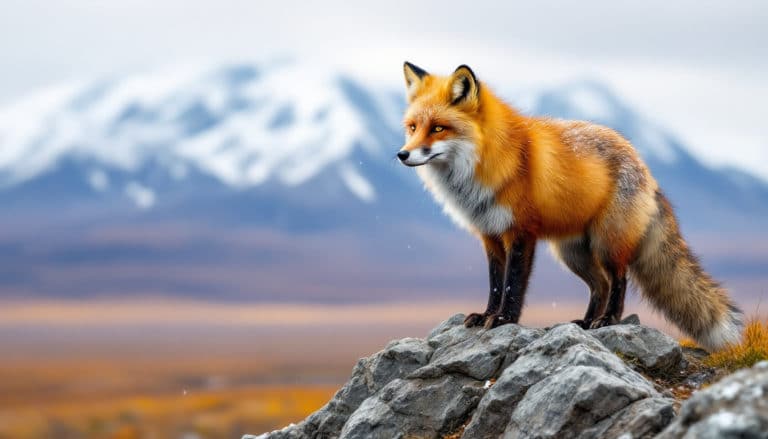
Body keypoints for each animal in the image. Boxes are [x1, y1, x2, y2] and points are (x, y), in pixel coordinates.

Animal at [396, 61, 744, 351]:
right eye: (412, 127)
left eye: (438, 128)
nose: (402, 154)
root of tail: (645, 166)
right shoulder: (490, 235)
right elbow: (495, 284)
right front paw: (486, 315)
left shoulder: (521, 232)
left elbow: (512, 284)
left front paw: (505, 320)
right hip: (573, 254)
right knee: (600, 285)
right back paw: (587, 321)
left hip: (607, 243)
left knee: (618, 279)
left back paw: (608, 320)